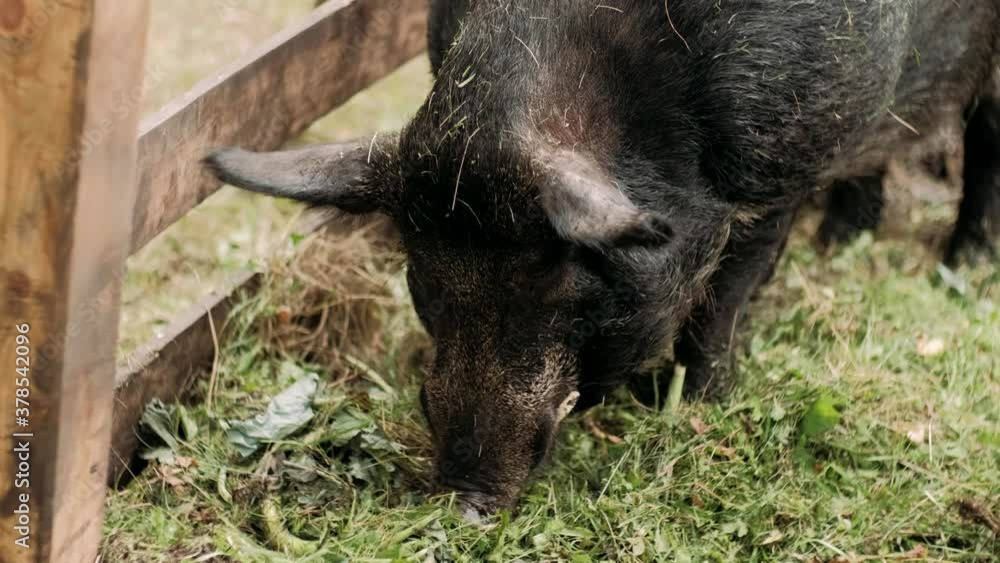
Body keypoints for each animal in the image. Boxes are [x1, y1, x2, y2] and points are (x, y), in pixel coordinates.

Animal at [205, 0, 1000, 516]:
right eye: (420, 279)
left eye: (562, 278)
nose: (464, 500)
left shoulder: (781, 173)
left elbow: (723, 301)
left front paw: (697, 405)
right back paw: (844, 241)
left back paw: (966, 268)